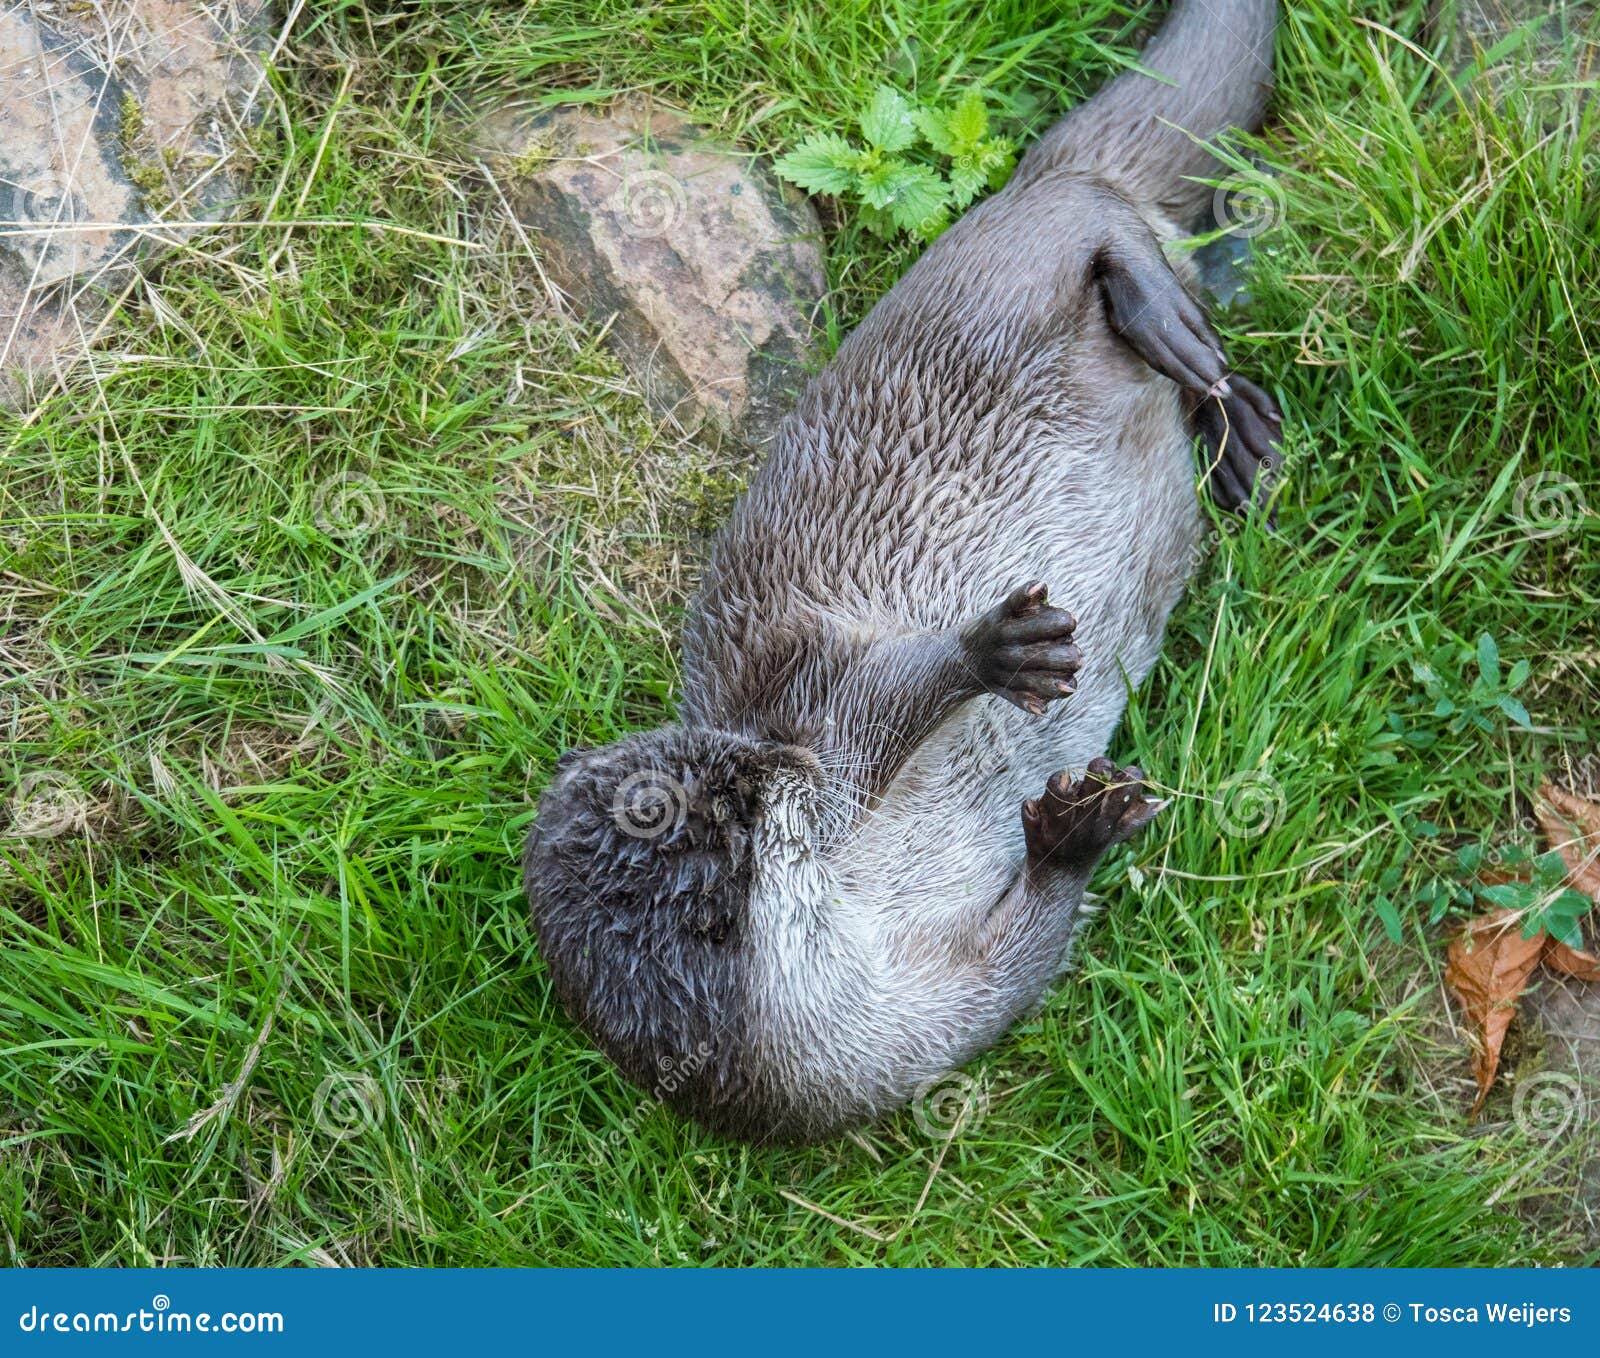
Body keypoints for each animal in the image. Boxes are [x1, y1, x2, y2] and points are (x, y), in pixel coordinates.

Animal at [525, 0, 1282, 1142]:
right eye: (740, 784)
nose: (769, 751)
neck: (853, 935)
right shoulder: (906, 1033)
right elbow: (1018, 965)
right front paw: (1075, 831)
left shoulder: (823, 729)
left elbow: (879, 696)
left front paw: (991, 651)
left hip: (994, 273)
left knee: (1098, 227)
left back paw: (1210, 384)